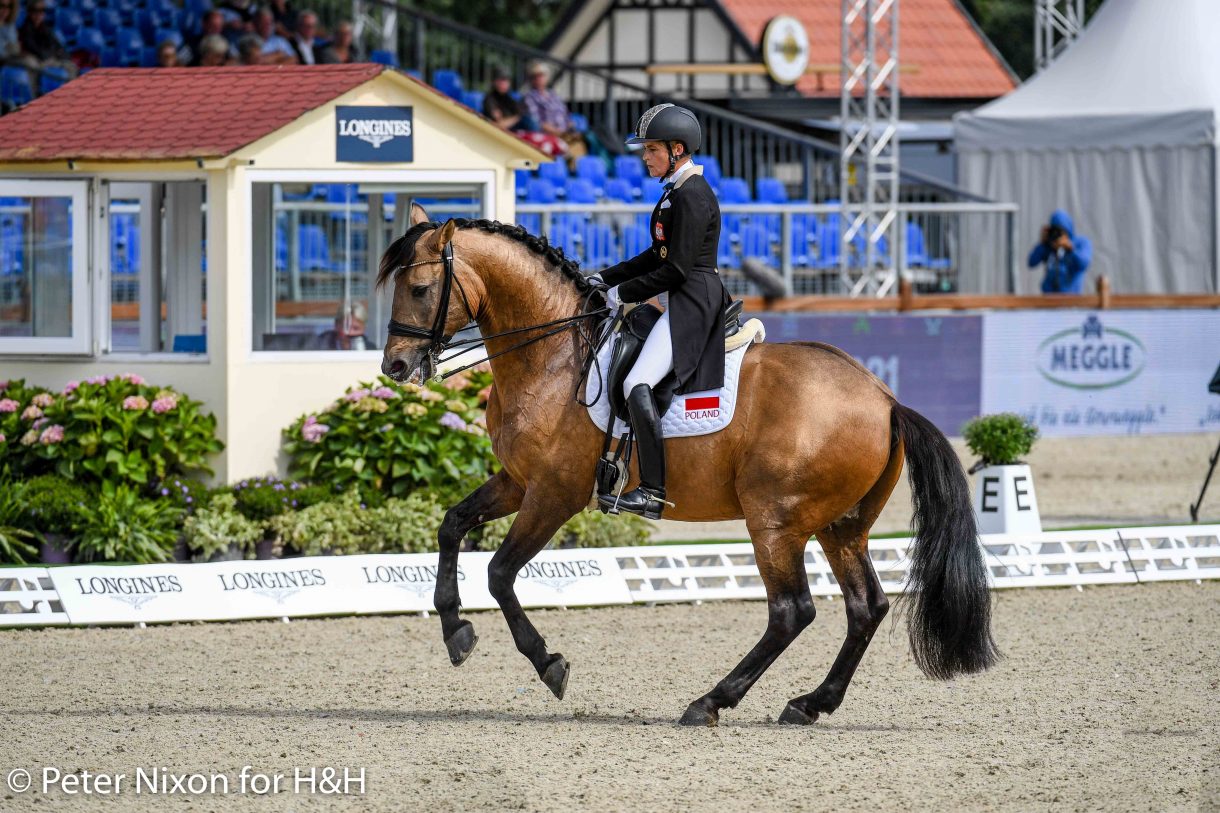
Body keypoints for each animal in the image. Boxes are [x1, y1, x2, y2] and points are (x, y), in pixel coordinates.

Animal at [378, 204, 998, 726]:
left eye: (421, 288)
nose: (396, 367)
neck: (552, 356)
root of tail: (884, 400)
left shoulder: (555, 494)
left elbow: (500, 572)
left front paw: (548, 664)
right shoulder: (517, 481)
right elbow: (452, 525)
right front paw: (455, 631)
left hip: (776, 522)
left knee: (791, 611)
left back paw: (711, 702)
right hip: (840, 525)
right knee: (864, 606)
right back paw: (810, 703)